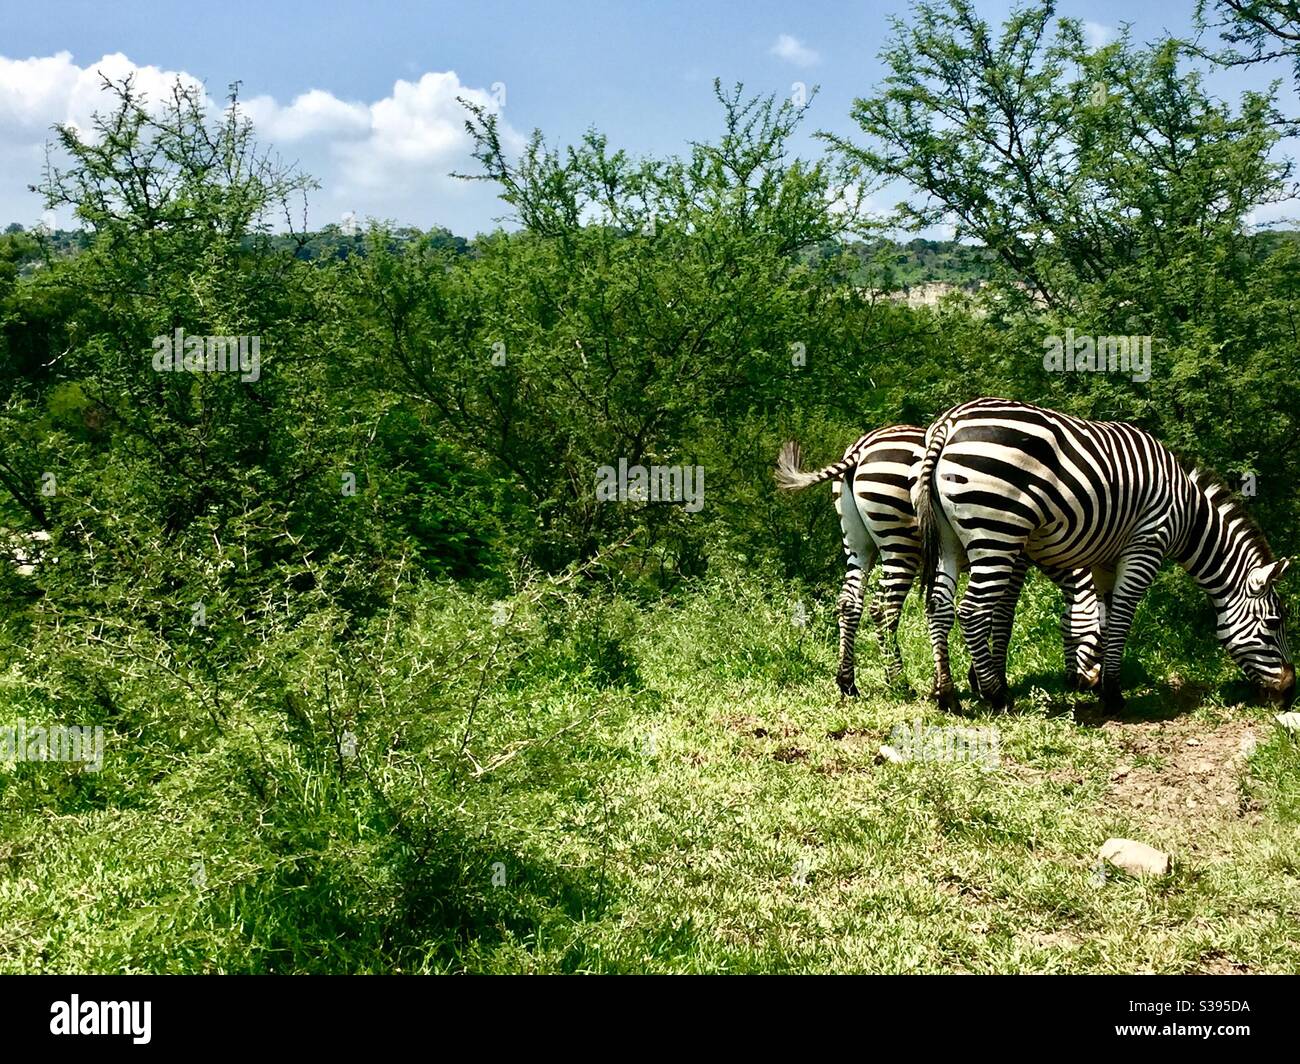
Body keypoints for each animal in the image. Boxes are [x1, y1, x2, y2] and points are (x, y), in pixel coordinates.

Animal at [776, 426, 1101, 699]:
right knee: (883, 609)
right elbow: (1002, 615)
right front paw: (991, 678)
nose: (1084, 685)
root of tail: (861, 448)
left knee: (849, 603)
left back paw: (847, 683)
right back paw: (899, 683)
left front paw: (977, 676)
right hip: (900, 544)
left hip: (857, 544)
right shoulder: (1012, 554)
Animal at [914, 397, 1295, 713]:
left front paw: (1101, 686)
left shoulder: (1104, 559)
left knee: (939, 605)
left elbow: (1105, 616)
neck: (1189, 516)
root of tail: (948, 423)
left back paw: (947, 695)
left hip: (951, 539)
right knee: (972, 610)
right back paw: (996, 697)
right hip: (998, 532)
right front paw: (1112, 694)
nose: (1290, 692)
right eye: (1274, 623)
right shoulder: (1147, 544)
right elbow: (1122, 616)